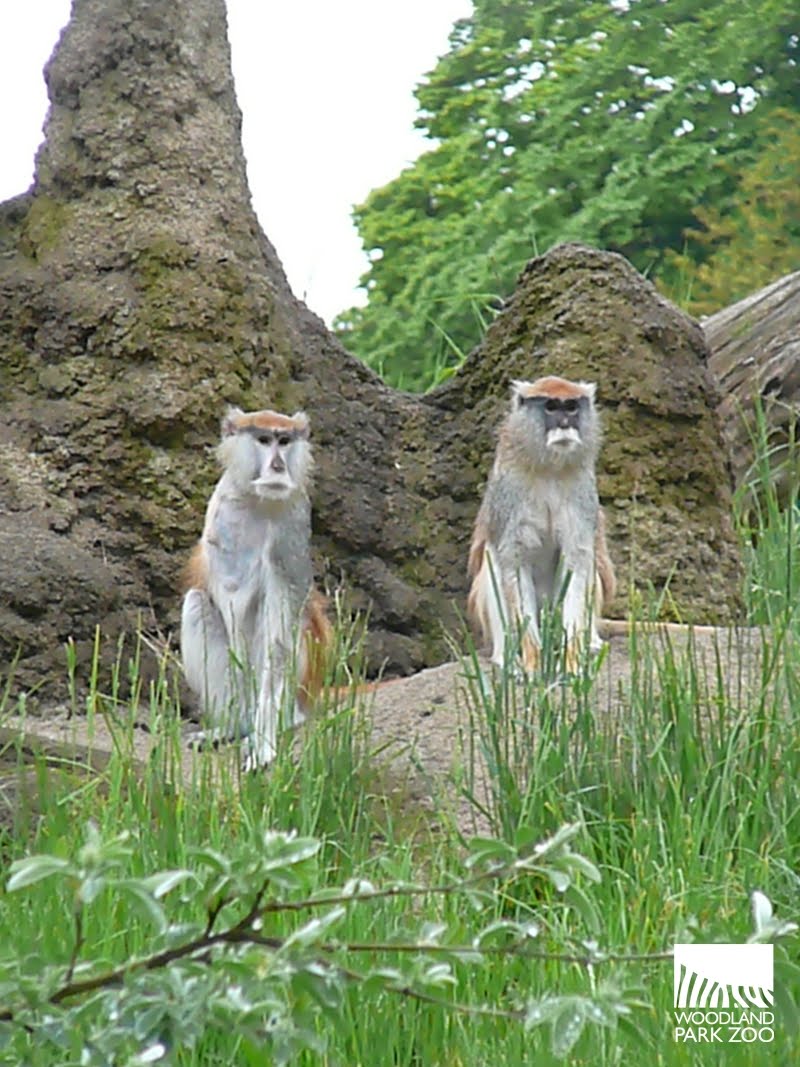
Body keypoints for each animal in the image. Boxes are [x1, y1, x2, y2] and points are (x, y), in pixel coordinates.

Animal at [180, 406, 332, 770]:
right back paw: (235, 726)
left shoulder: (292, 527)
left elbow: (278, 642)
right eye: (263, 440)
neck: (258, 501)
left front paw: (263, 744)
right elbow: (228, 597)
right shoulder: (222, 515)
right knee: (196, 603)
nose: (277, 466)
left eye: (284, 441)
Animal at [467, 375, 615, 674]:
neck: (550, 469)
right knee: (492, 557)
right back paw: (505, 658)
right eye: (550, 407)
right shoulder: (509, 493)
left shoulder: (581, 492)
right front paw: (533, 661)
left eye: (571, 407)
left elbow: (576, 562)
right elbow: (513, 563)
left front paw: (572, 661)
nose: (565, 424)